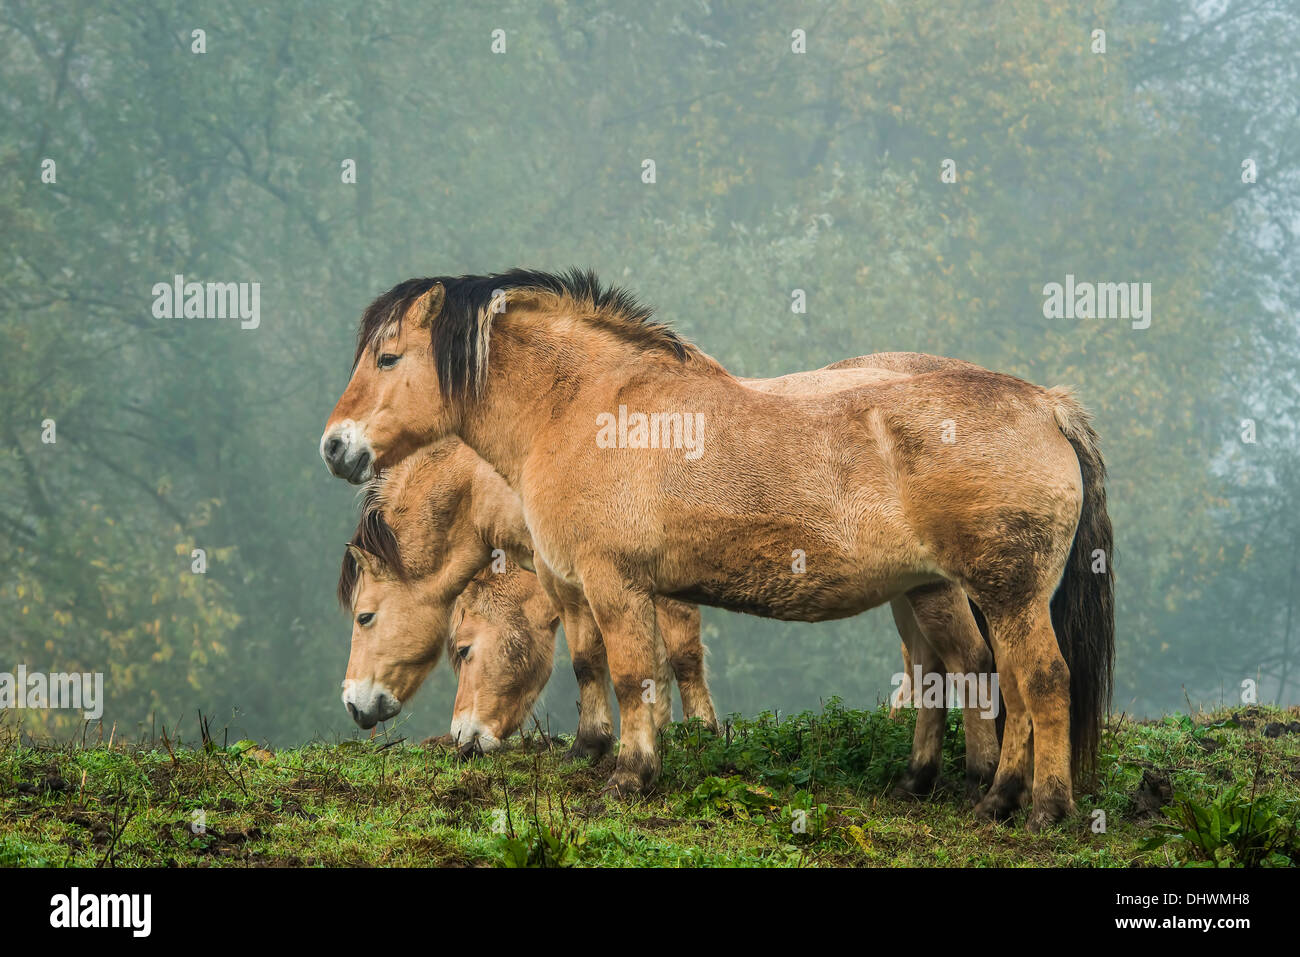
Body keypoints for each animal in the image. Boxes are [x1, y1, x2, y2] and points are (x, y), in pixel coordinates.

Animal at [321, 269, 1113, 829]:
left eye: (387, 357)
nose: (335, 445)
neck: (587, 409)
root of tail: (1047, 405)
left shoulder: (617, 585)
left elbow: (637, 674)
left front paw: (632, 774)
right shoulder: (583, 585)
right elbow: (593, 663)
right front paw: (591, 752)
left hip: (1005, 594)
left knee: (1037, 680)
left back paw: (1037, 806)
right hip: (944, 590)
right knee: (972, 676)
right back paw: (970, 790)